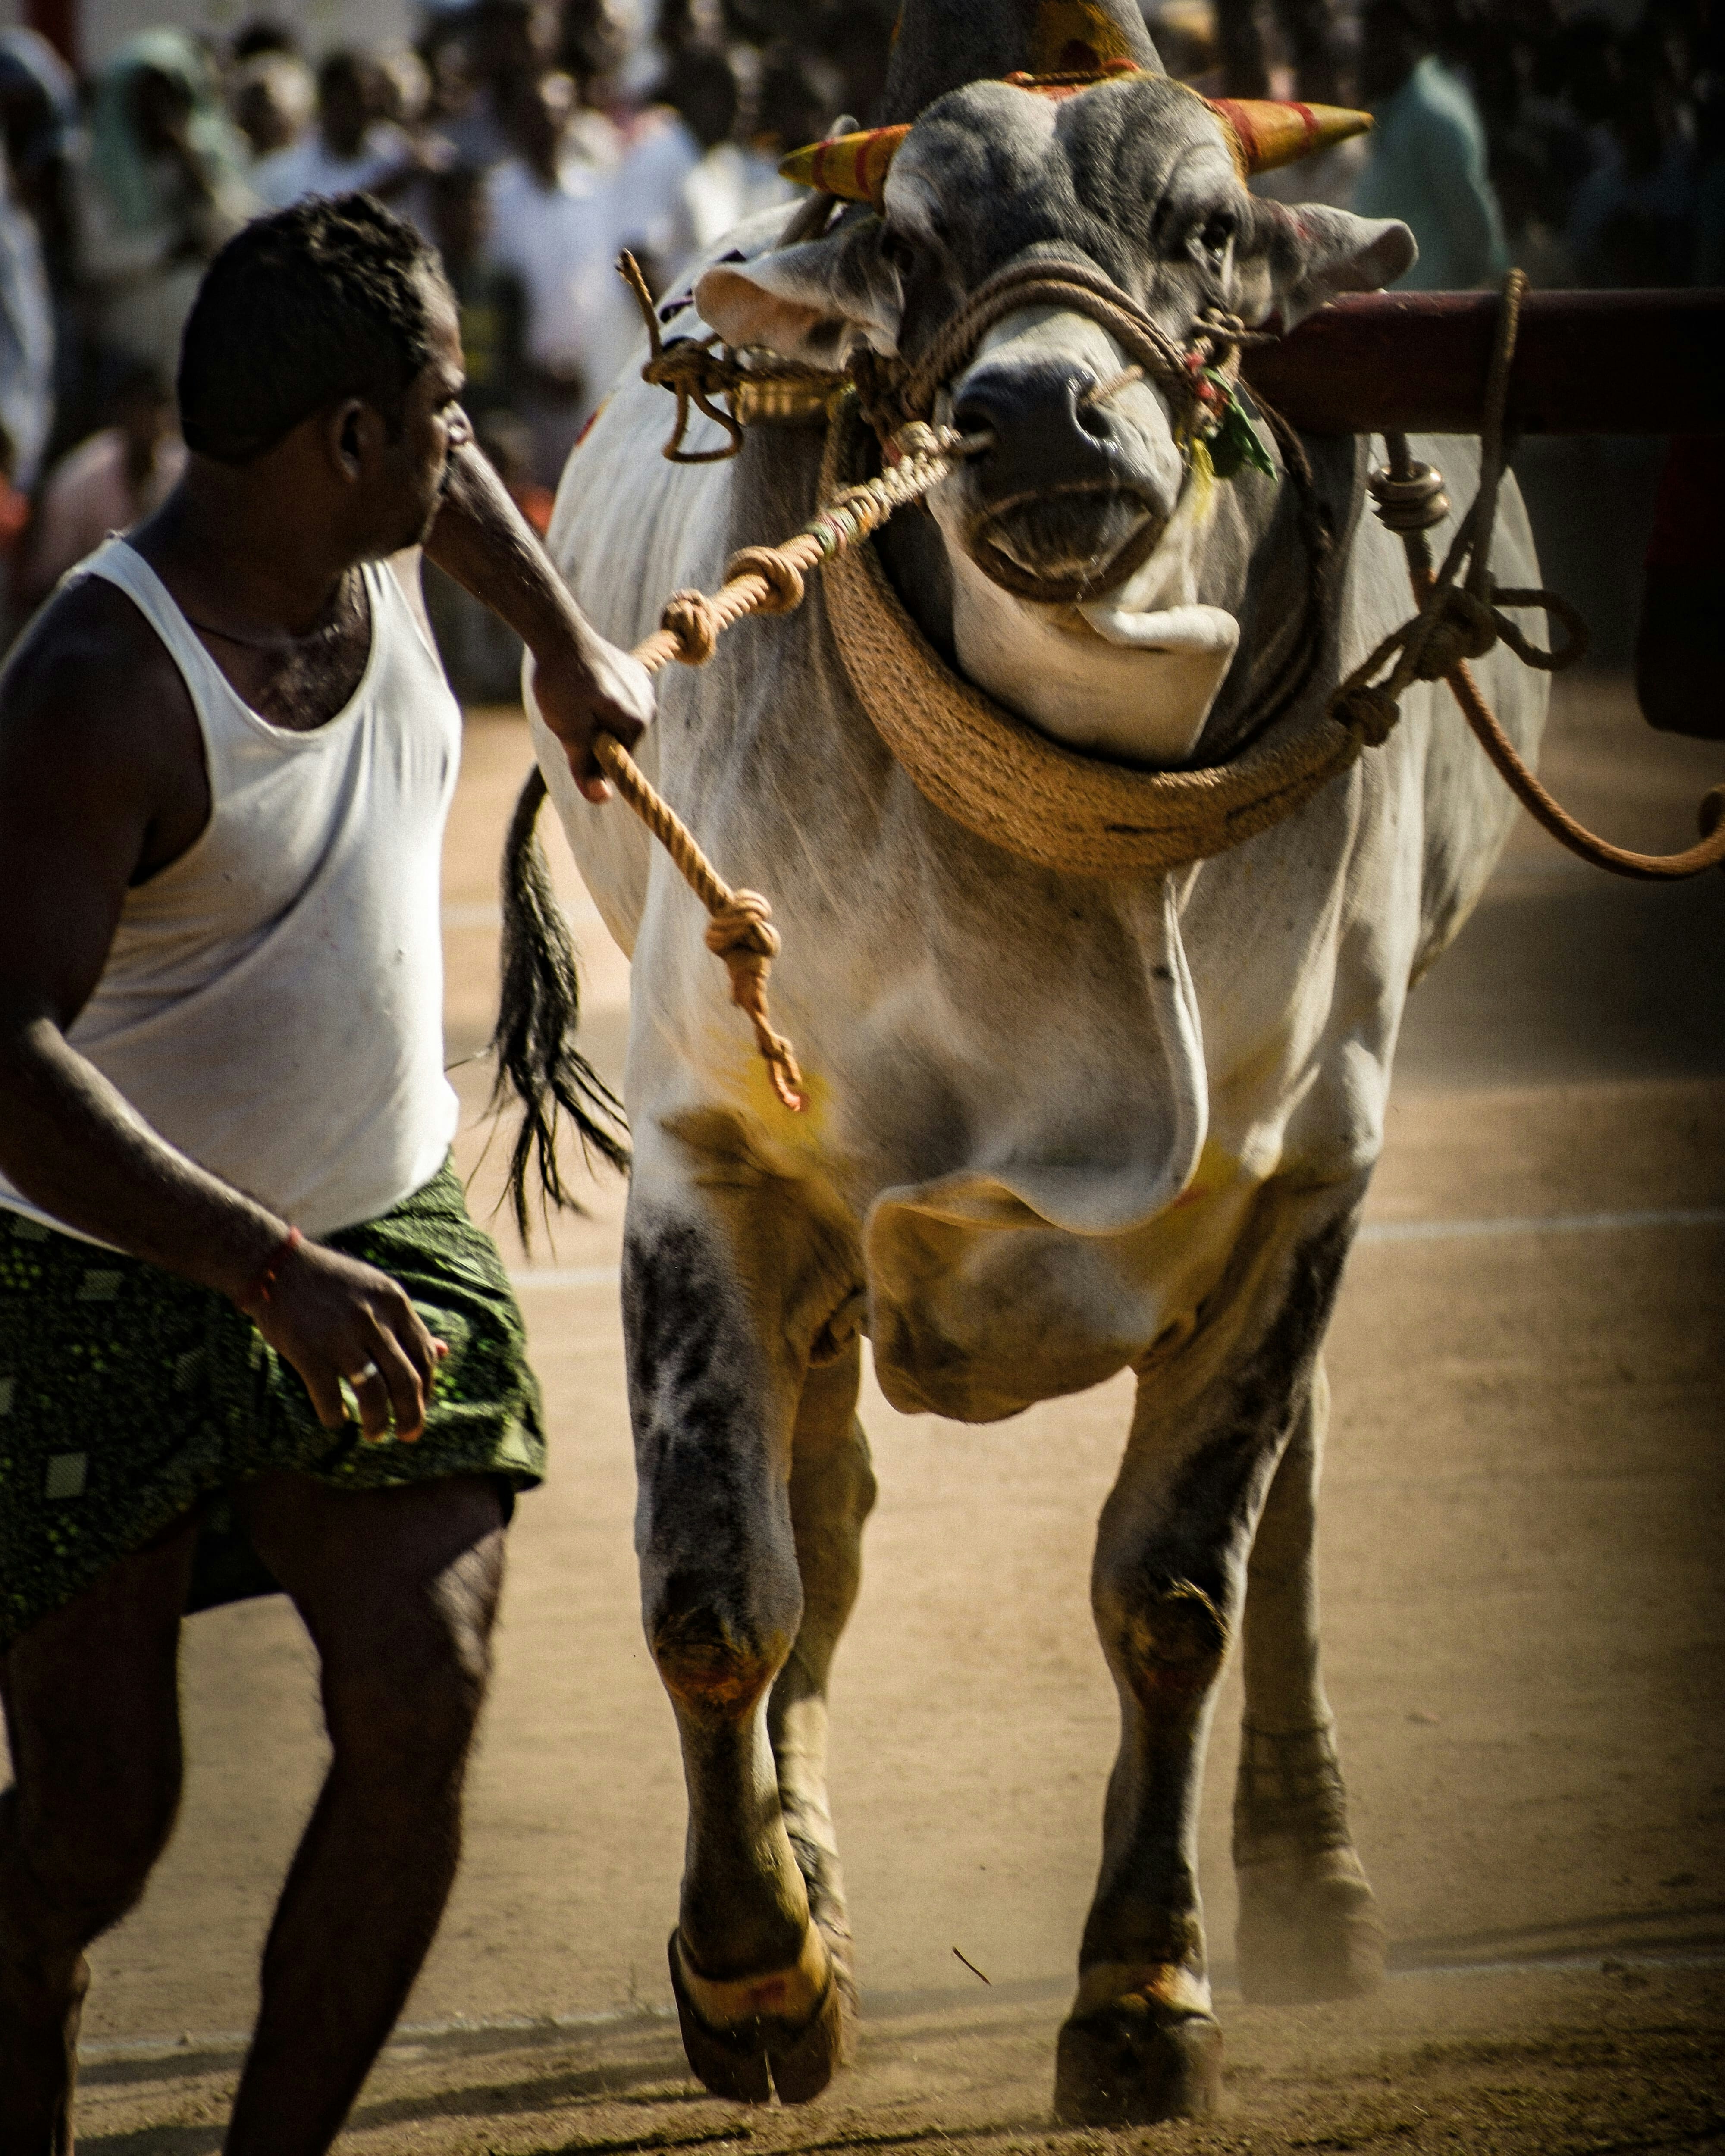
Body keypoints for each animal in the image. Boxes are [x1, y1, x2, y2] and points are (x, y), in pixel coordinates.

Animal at [499, 0, 1547, 2124]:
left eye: (1209, 223)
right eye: (908, 243)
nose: (1041, 416)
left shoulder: (1307, 1174)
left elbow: (1174, 1591)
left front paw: (1144, 1983)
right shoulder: (719, 1163)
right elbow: (721, 1581)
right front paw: (754, 1961)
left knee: (1285, 1509)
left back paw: (1311, 1867)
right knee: (820, 1519)